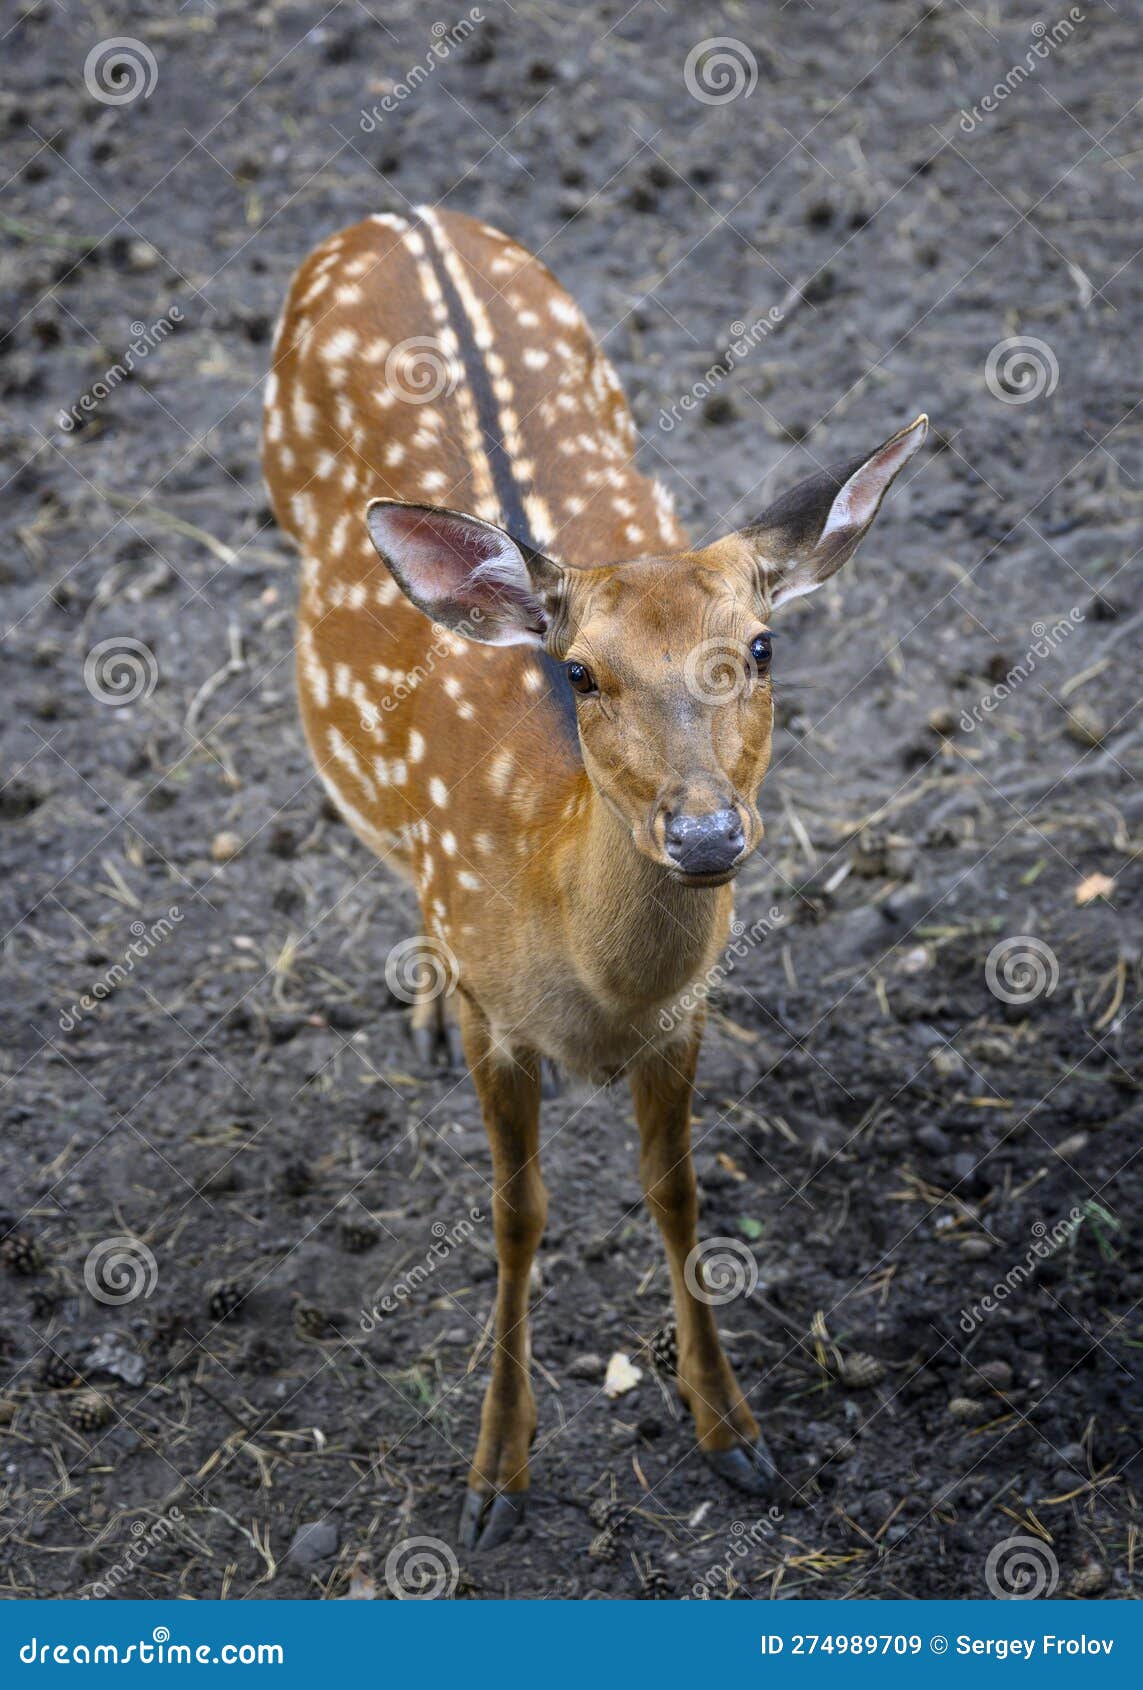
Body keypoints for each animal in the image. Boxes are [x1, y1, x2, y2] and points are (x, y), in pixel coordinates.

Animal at [262, 204, 926, 1551]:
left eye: (761, 647)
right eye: (582, 673)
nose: (708, 836)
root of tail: (396, 214)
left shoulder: (686, 1013)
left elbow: (676, 1194)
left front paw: (734, 1430)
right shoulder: (497, 1016)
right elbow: (516, 1213)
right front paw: (493, 1474)